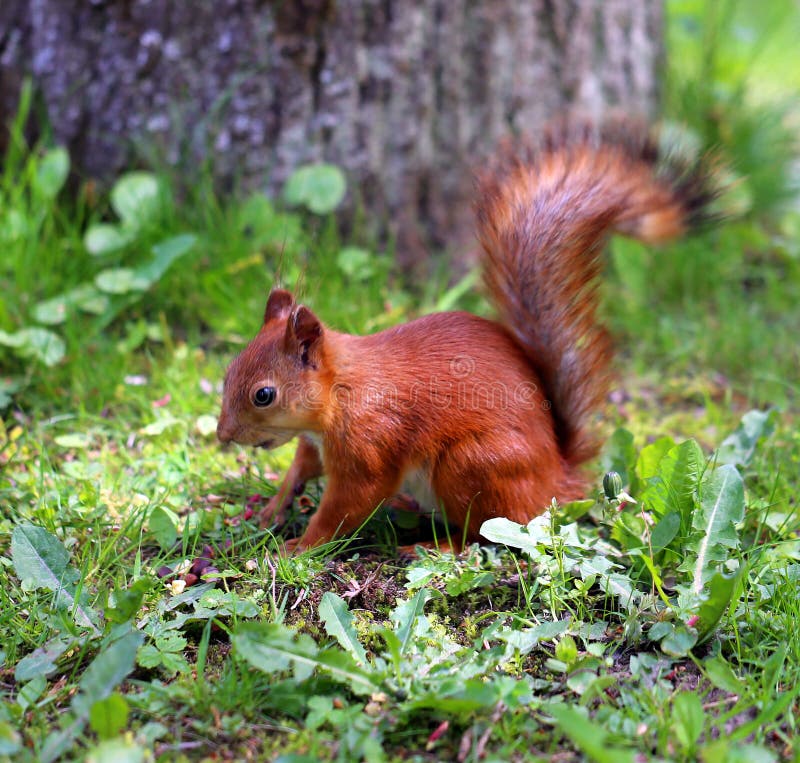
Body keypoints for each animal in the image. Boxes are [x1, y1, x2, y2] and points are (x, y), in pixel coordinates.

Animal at [217, 119, 718, 552]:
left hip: (471, 466)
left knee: (487, 533)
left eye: (264, 395)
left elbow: (346, 506)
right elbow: (301, 465)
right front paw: (273, 508)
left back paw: (432, 547)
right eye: (229, 371)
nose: (223, 435)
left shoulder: (370, 444)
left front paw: (297, 547)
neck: (341, 389)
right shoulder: (316, 442)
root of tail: (557, 479)